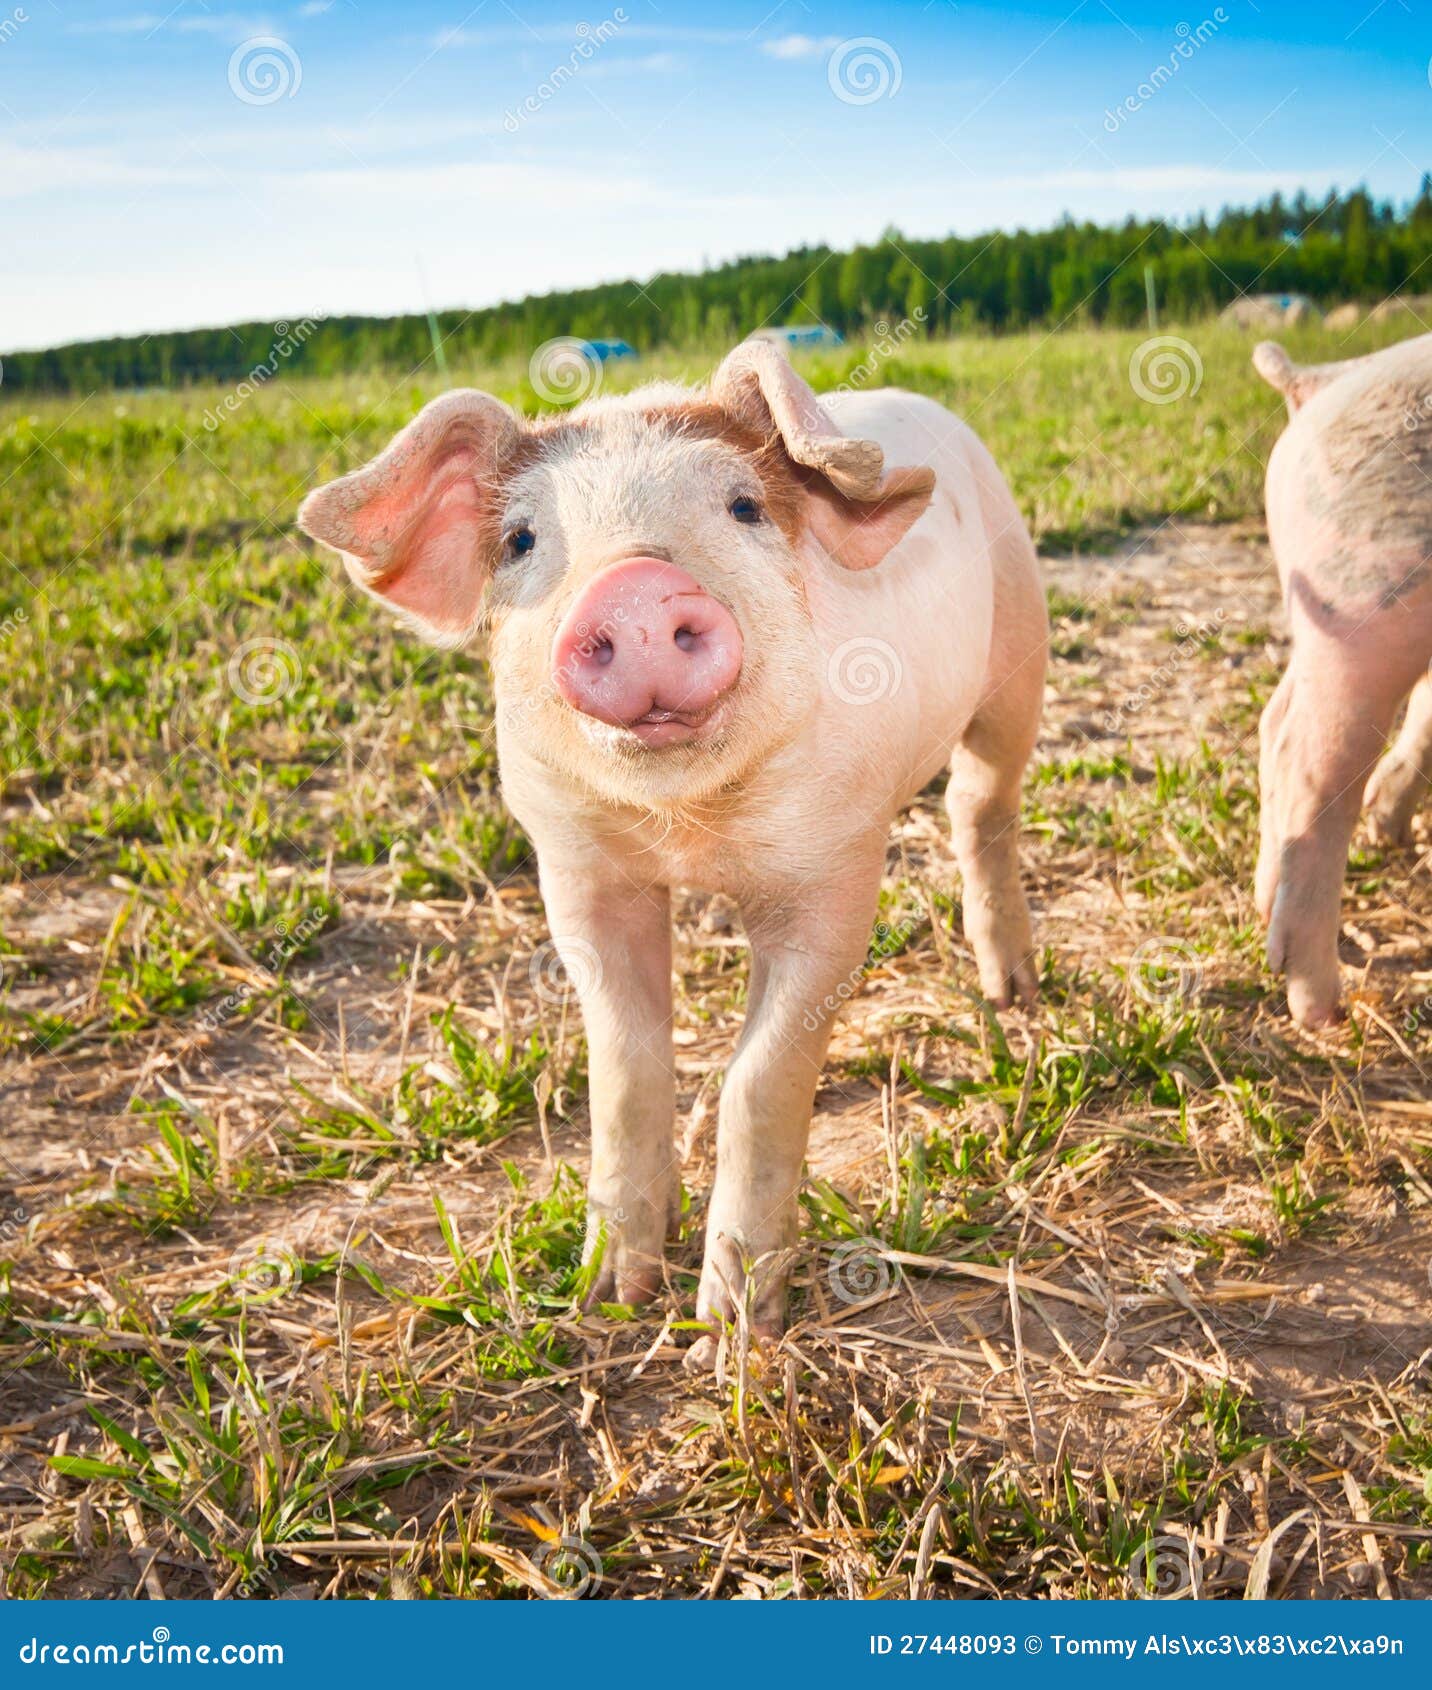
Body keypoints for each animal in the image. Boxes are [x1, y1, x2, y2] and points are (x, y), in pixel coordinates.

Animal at [298, 339, 1047, 1360]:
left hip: (1020, 652)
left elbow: (761, 1077)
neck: (688, 829)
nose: (634, 587)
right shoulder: (574, 867)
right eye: (522, 540)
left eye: (744, 506)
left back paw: (1014, 996)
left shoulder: (837, 870)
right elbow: (624, 1065)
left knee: (983, 805)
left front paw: (731, 1332)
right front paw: (606, 1297)